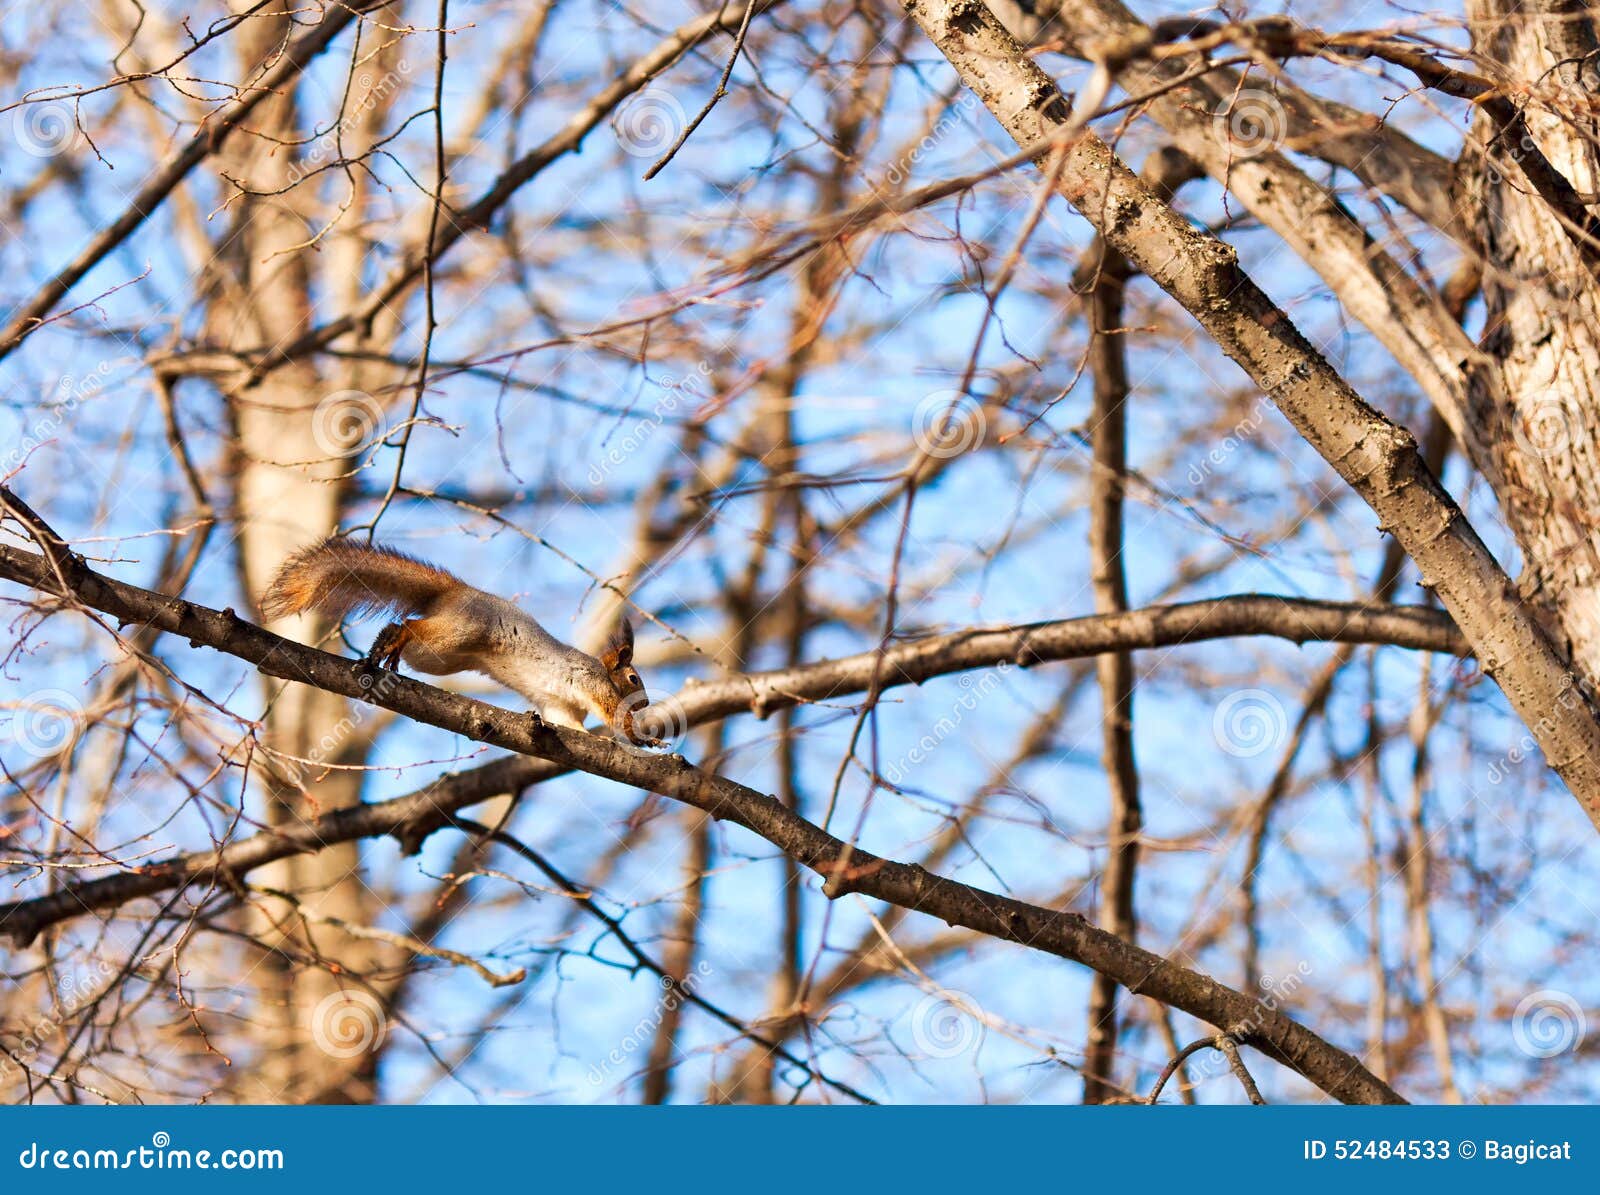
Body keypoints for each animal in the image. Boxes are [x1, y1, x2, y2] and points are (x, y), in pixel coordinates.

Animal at [260, 538, 660, 745]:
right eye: (633, 678)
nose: (645, 703)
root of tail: (454, 592)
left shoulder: (560, 706)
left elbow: (570, 725)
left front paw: (596, 737)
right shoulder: (591, 681)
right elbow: (612, 711)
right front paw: (641, 736)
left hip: (438, 658)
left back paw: (382, 652)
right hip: (455, 637)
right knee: (407, 624)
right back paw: (391, 642)